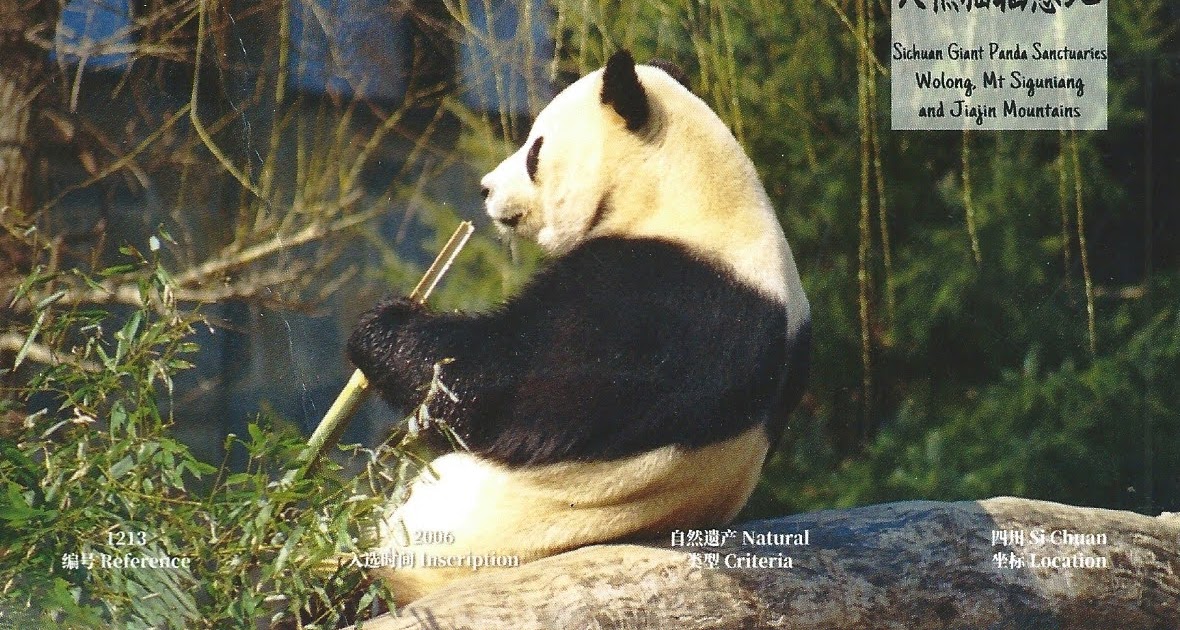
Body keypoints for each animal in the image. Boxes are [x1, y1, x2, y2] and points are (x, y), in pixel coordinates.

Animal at [346, 49, 810, 605]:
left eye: (534, 150)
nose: (486, 188)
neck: (688, 192)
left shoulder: (664, 303)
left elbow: (502, 381)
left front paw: (382, 325)